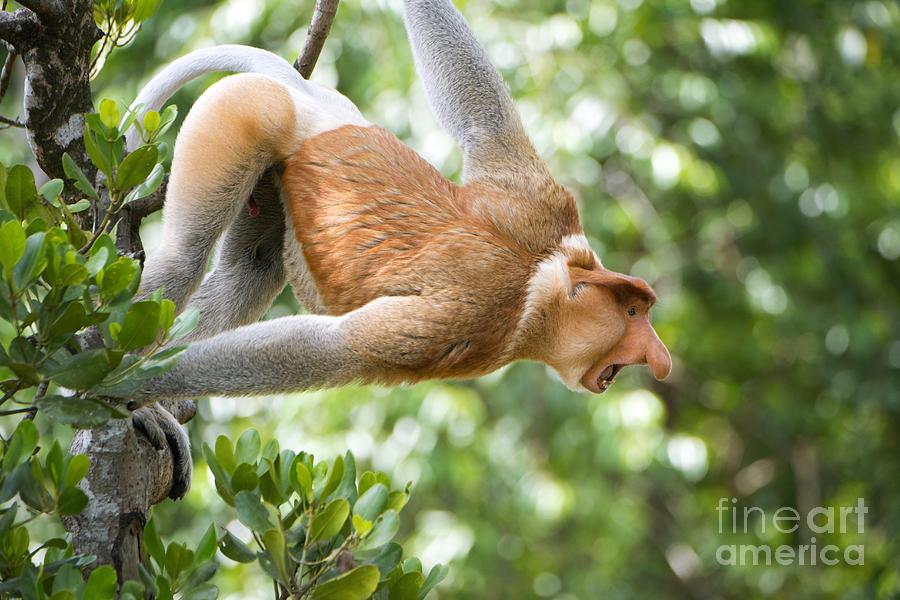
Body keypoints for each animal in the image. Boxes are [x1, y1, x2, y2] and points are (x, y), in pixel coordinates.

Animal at [124, 0, 672, 497]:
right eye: (631, 312)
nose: (661, 360)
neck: (542, 280)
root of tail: (313, 105)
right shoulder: (462, 317)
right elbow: (335, 347)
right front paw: (118, 388)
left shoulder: (535, 199)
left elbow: (483, 125)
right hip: (242, 115)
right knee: (186, 254)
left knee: (250, 269)